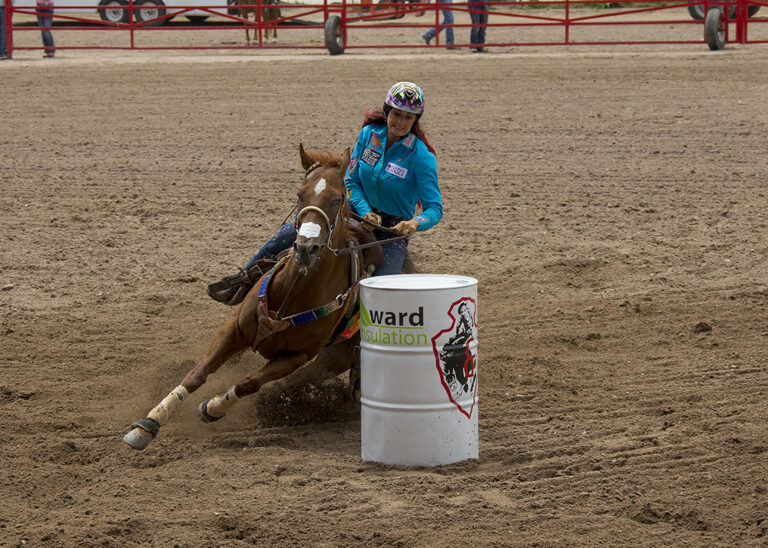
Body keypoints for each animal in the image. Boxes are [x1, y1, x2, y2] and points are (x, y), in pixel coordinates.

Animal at [123, 144, 382, 451]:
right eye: (300, 194)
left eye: (337, 198)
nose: (306, 248)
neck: (294, 293)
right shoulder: (233, 329)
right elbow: (198, 373)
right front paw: (149, 423)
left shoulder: (296, 356)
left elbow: (249, 383)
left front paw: (213, 407)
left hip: (334, 358)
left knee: (289, 383)